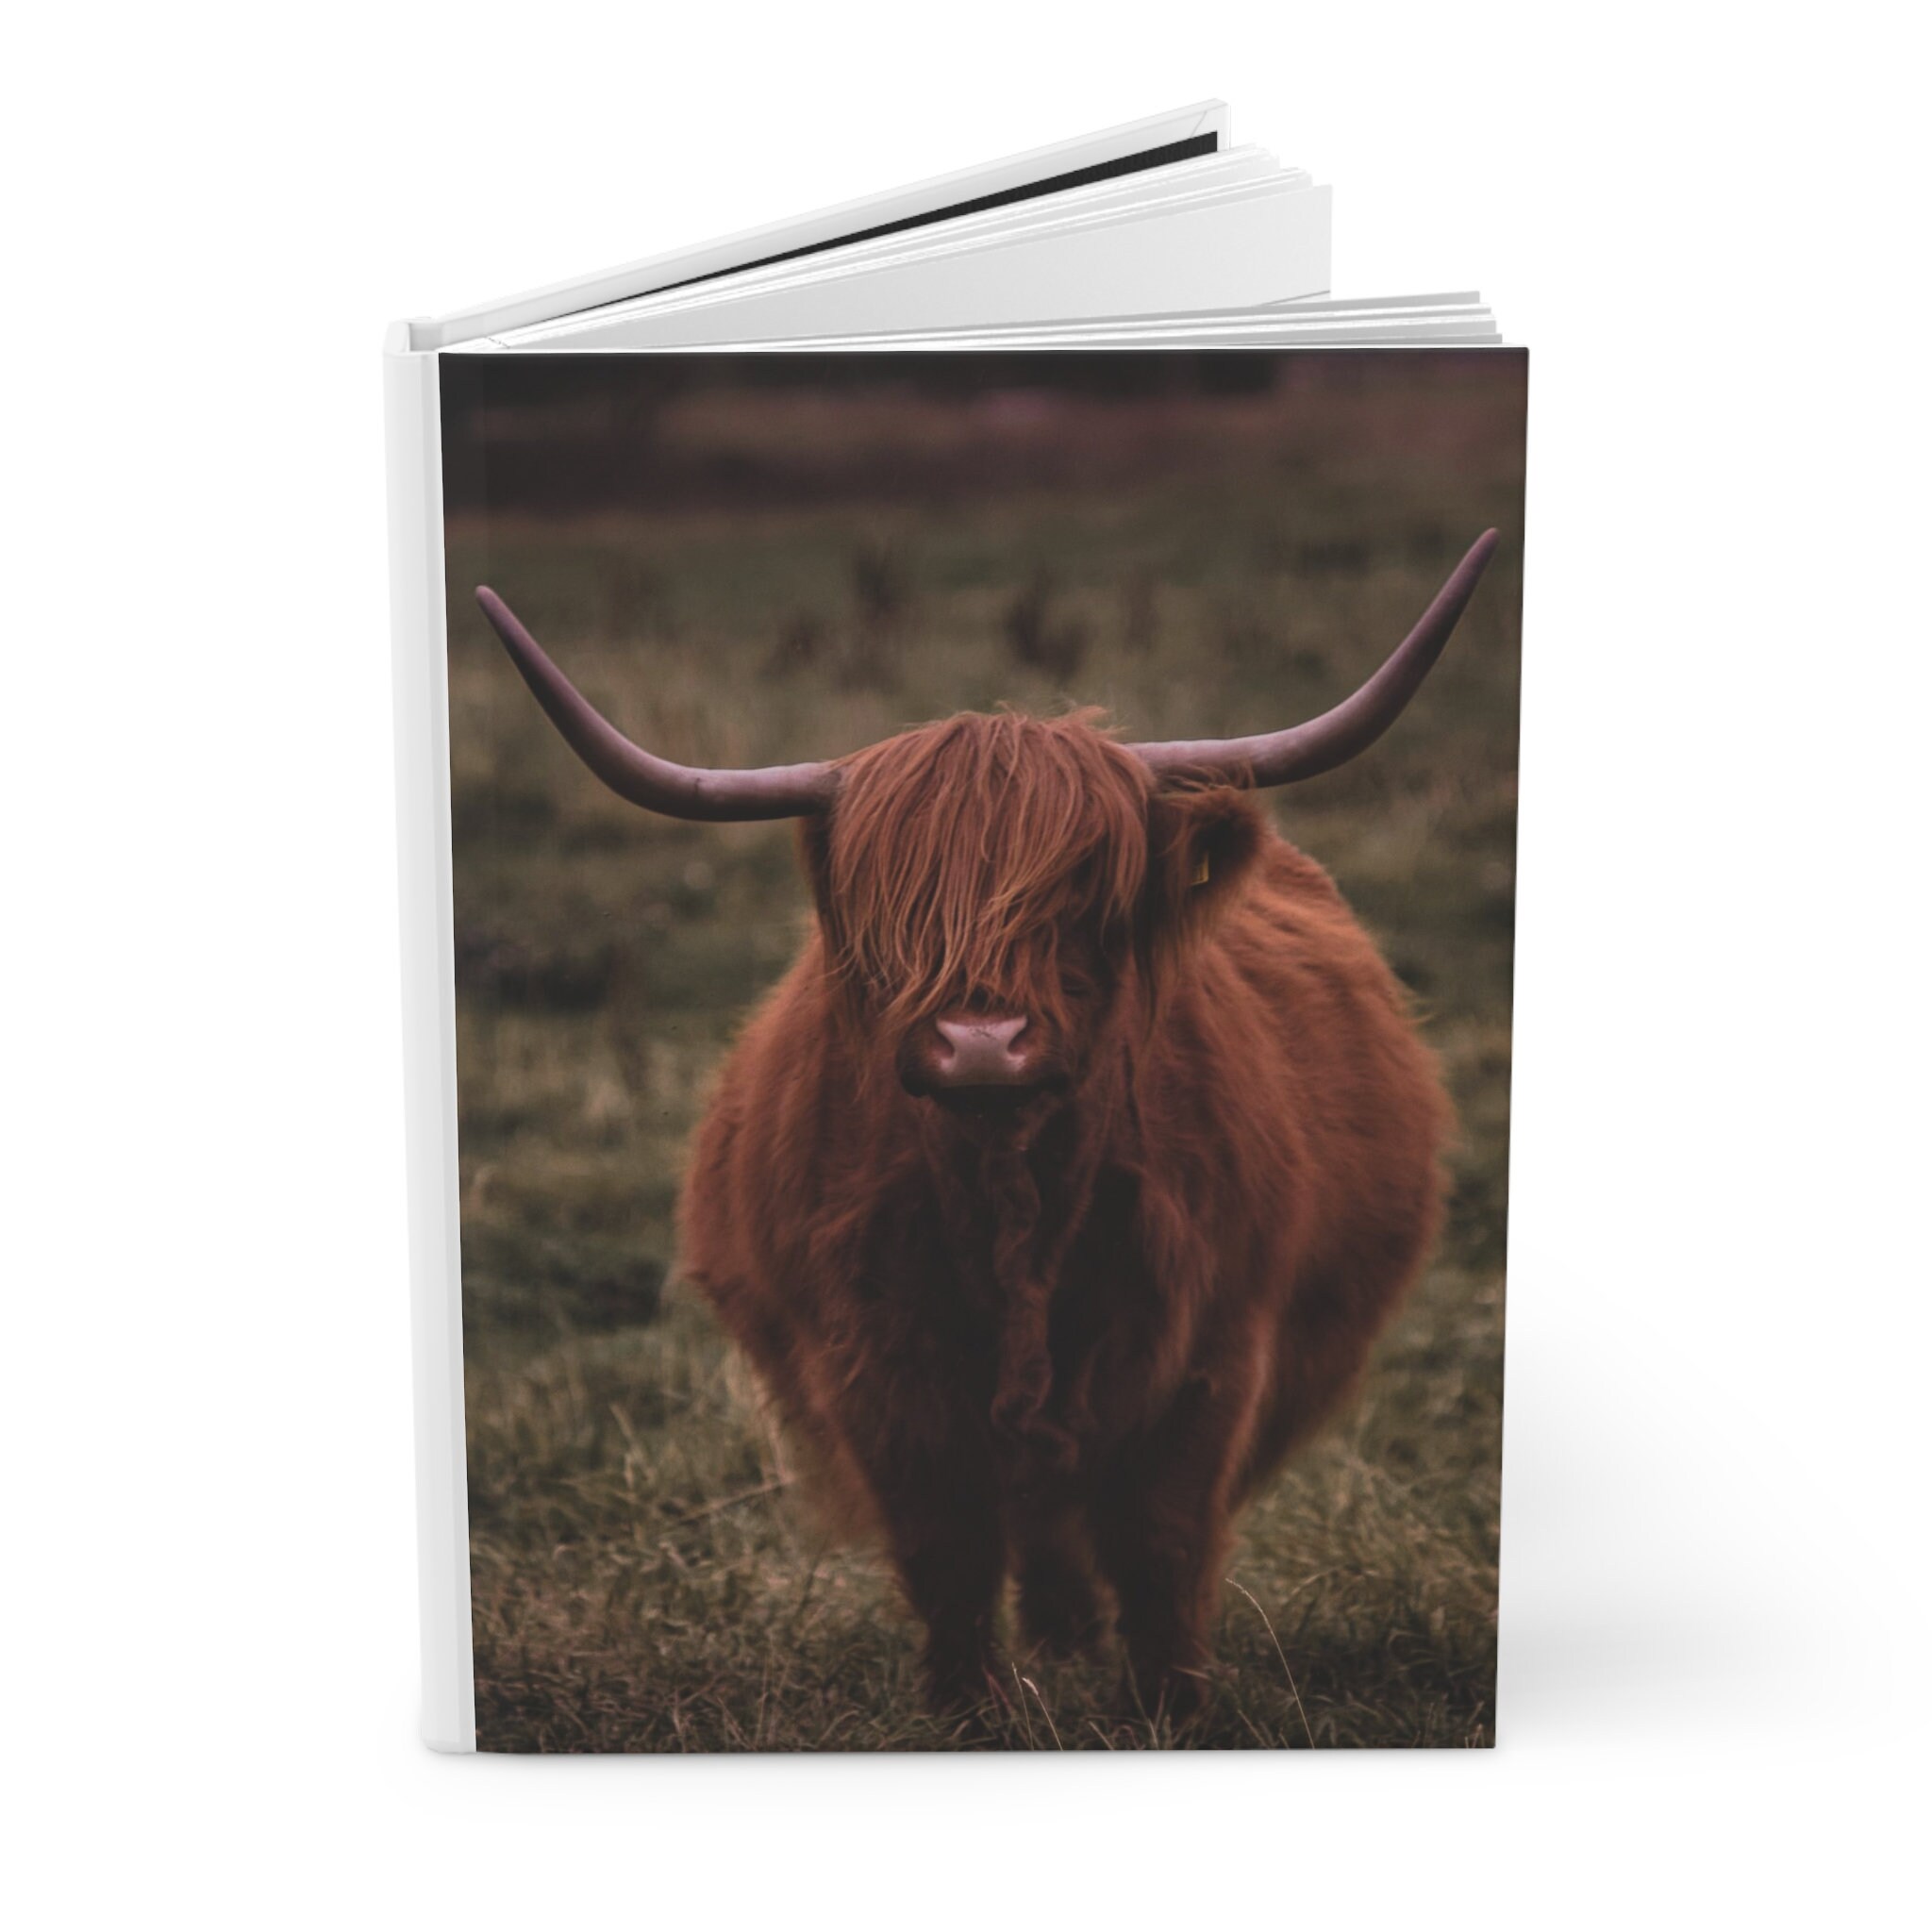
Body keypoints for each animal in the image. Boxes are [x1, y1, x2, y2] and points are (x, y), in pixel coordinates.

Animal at [474, 529, 1499, 1719]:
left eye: (1086, 896)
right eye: (896, 912)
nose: (978, 1041)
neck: (1011, 1198)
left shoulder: (1212, 1354)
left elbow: (1162, 1540)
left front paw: (1173, 1705)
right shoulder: (876, 1371)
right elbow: (946, 1547)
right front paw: (969, 1705)